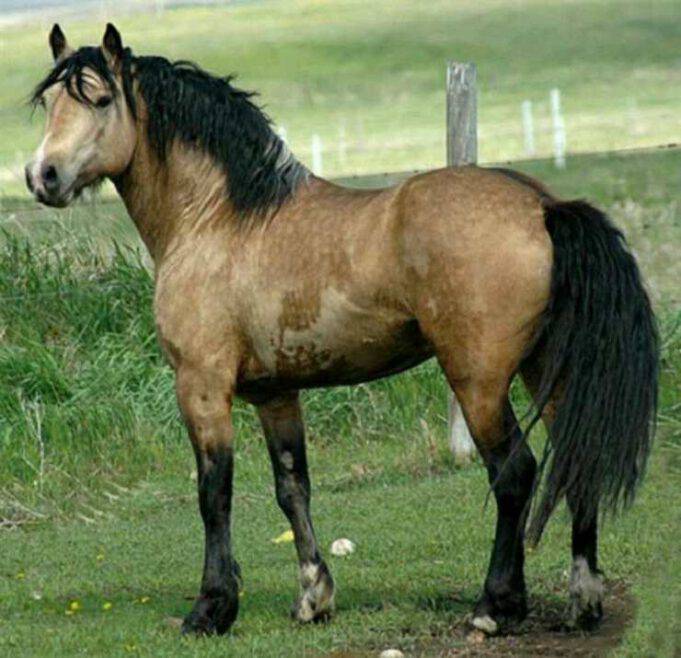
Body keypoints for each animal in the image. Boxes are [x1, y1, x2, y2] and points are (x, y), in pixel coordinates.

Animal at [25, 23, 658, 638]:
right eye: (51, 102)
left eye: (101, 99)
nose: (43, 176)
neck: (219, 220)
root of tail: (541, 207)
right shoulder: (276, 394)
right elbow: (291, 488)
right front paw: (313, 597)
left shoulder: (202, 388)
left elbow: (214, 493)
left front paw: (212, 608)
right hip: (547, 371)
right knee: (575, 458)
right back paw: (583, 601)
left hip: (478, 383)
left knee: (515, 474)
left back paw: (495, 607)